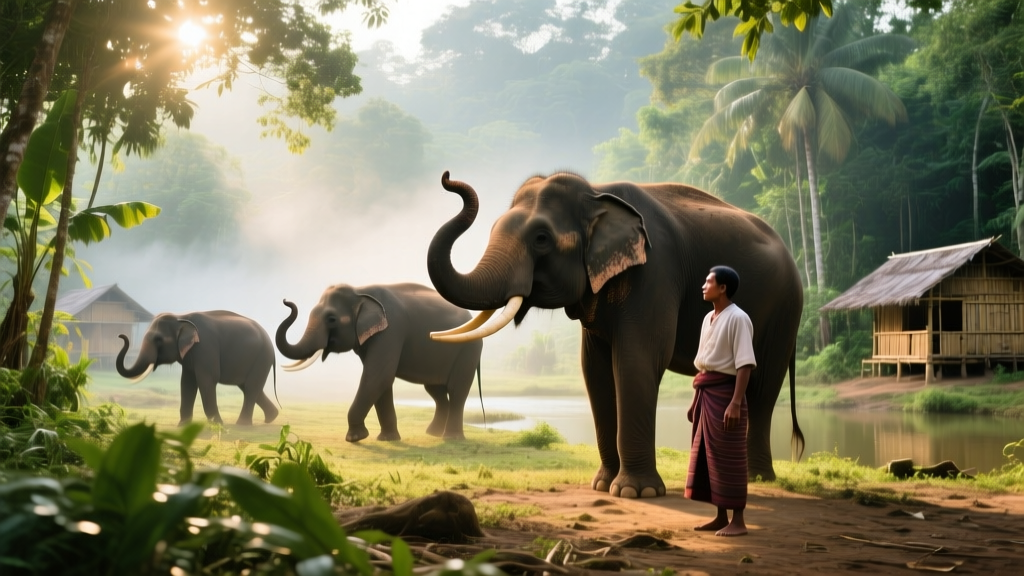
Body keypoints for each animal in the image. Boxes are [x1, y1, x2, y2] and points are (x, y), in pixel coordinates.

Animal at [116, 311, 279, 426]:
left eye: (158, 339)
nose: (121, 336)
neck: (181, 317)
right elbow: (187, 383)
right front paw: (182, 425)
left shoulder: (205, 347)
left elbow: (207, 380)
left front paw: (218, 425)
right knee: (247, 386)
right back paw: (271, 417)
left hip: (263, 356)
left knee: (251, 387)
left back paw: (243, 424)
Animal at [275, 283, 483, 442]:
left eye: (332, 319)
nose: (286, 301)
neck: (360, 291)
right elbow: (381, 380)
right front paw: (387, 439)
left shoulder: (391, 330)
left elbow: (378, 376)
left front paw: (355, 438)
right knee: (436, 390)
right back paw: (433, 434)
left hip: (469, 347)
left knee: (457, 389)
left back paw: (451, 438)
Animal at [426, 171, 804, 498]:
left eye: (541, 239)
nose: (446, 177)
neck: (596, 193)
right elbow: (594, 369)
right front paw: (602, 485)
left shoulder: (654, 271)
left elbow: (638, 359)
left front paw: (637, 492)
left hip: (784, 309)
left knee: (762, 385)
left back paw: (757, 478)